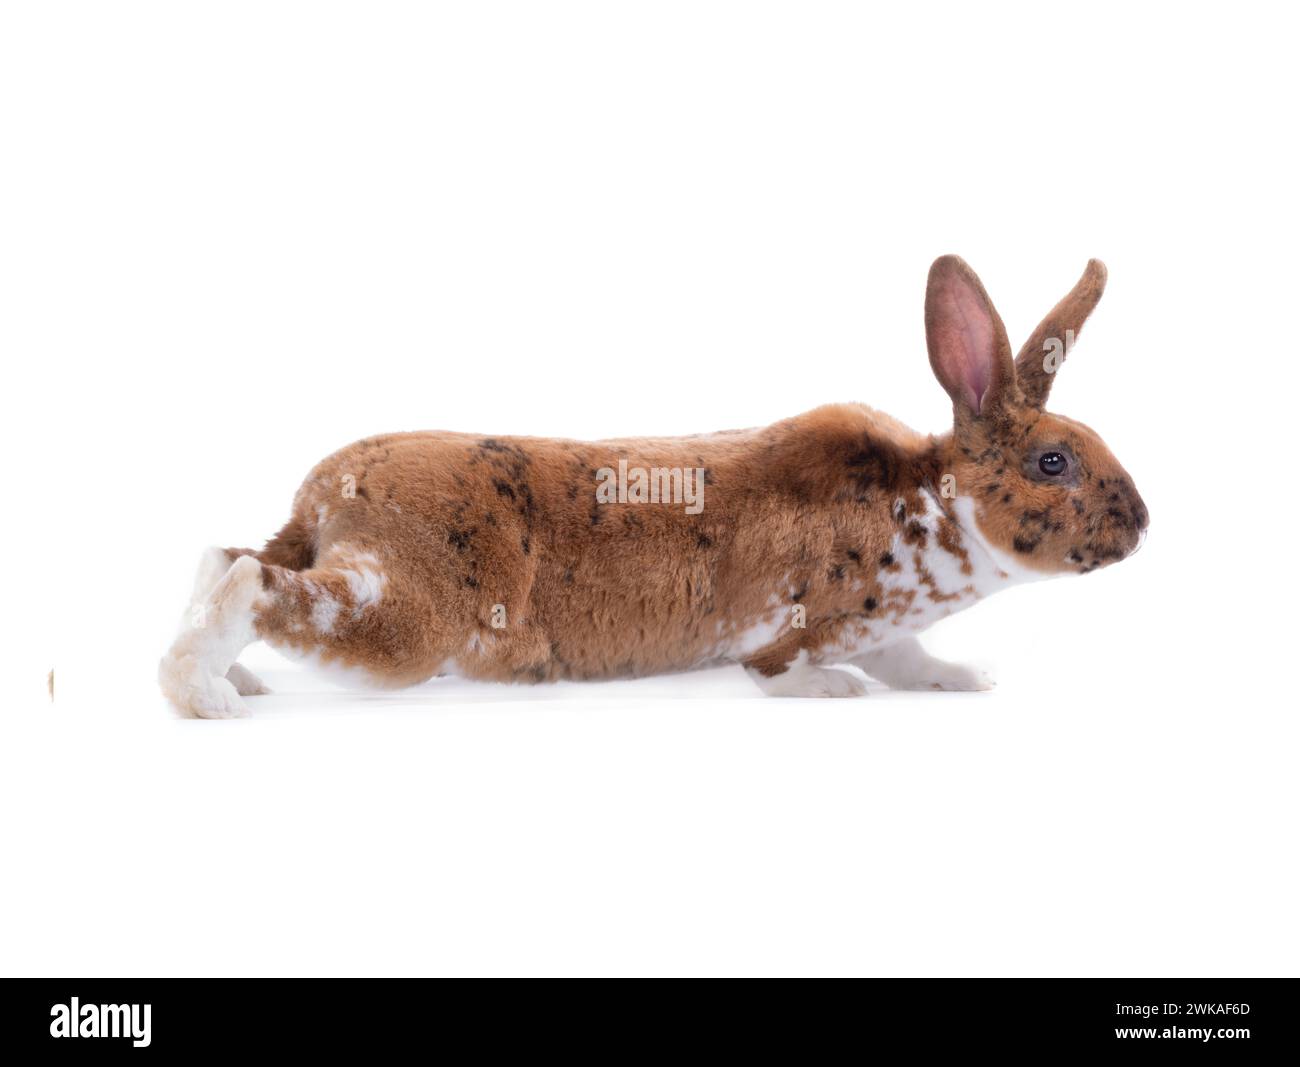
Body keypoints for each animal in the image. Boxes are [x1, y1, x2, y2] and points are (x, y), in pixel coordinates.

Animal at [159, 255, 1147, 717]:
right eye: (1053, 461)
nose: (1142, 521)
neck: (928, 506)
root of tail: (327, 492)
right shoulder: (792, 623)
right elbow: (783, 669)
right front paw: (834, 691)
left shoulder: (894, 629)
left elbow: (910, 658)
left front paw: (966, 676)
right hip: (410, 612)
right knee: (251, 580)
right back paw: (203, 697)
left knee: (218, 556)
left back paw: (233, 681)